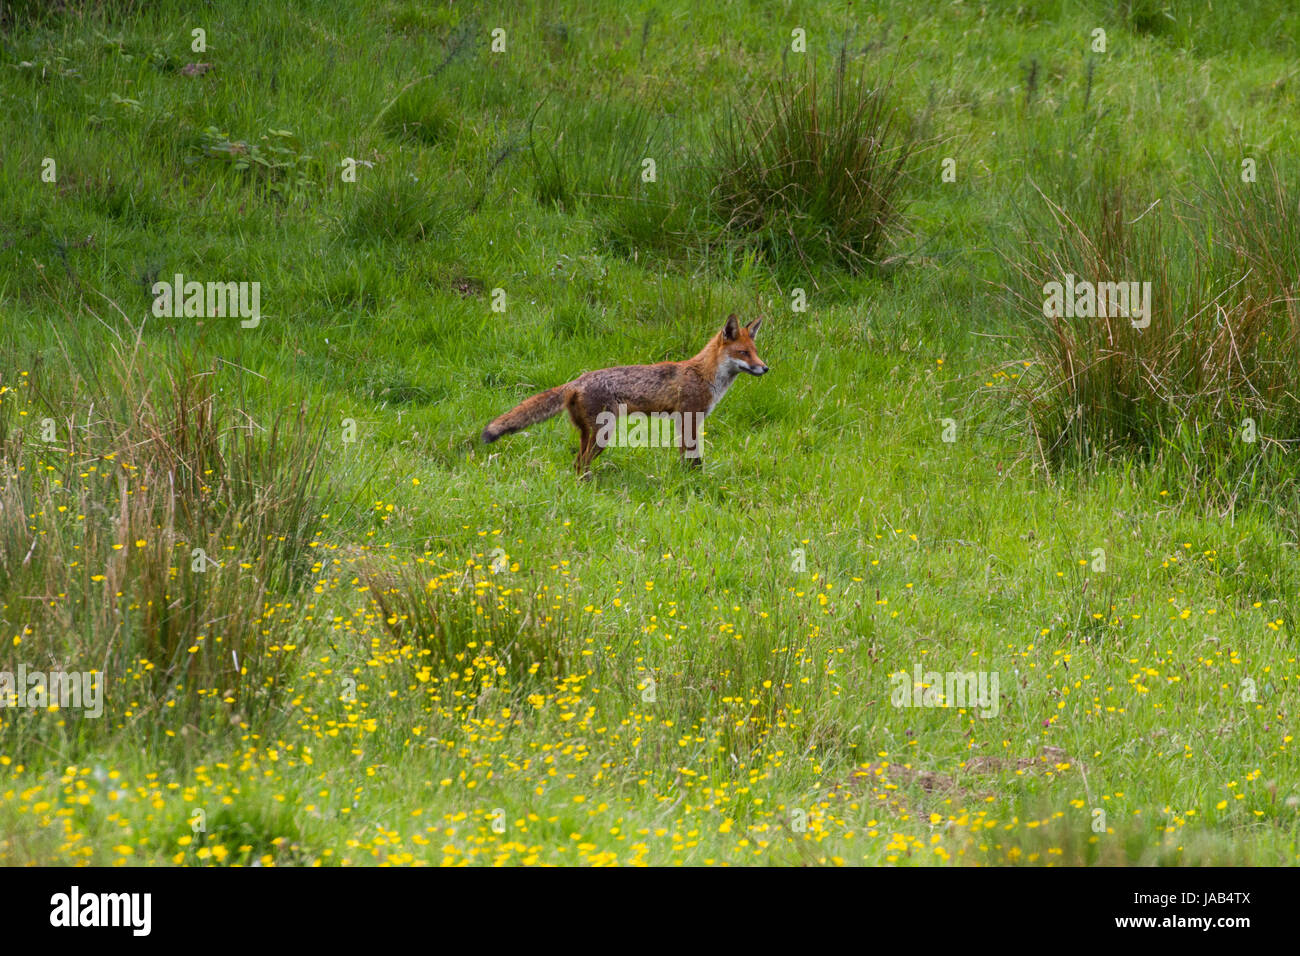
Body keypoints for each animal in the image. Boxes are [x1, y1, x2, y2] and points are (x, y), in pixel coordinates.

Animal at [481, 313, 768, 474]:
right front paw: (695, 481)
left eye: (755, 352)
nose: (765, 368)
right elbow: (693, 457)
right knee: (581, 463)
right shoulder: (689, 418)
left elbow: (686, 456)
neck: (705, 375)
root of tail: (576, 381)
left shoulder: (684, 421)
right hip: (602, 435)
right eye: (743, 353)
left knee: (577, 463)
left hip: (588, 434)